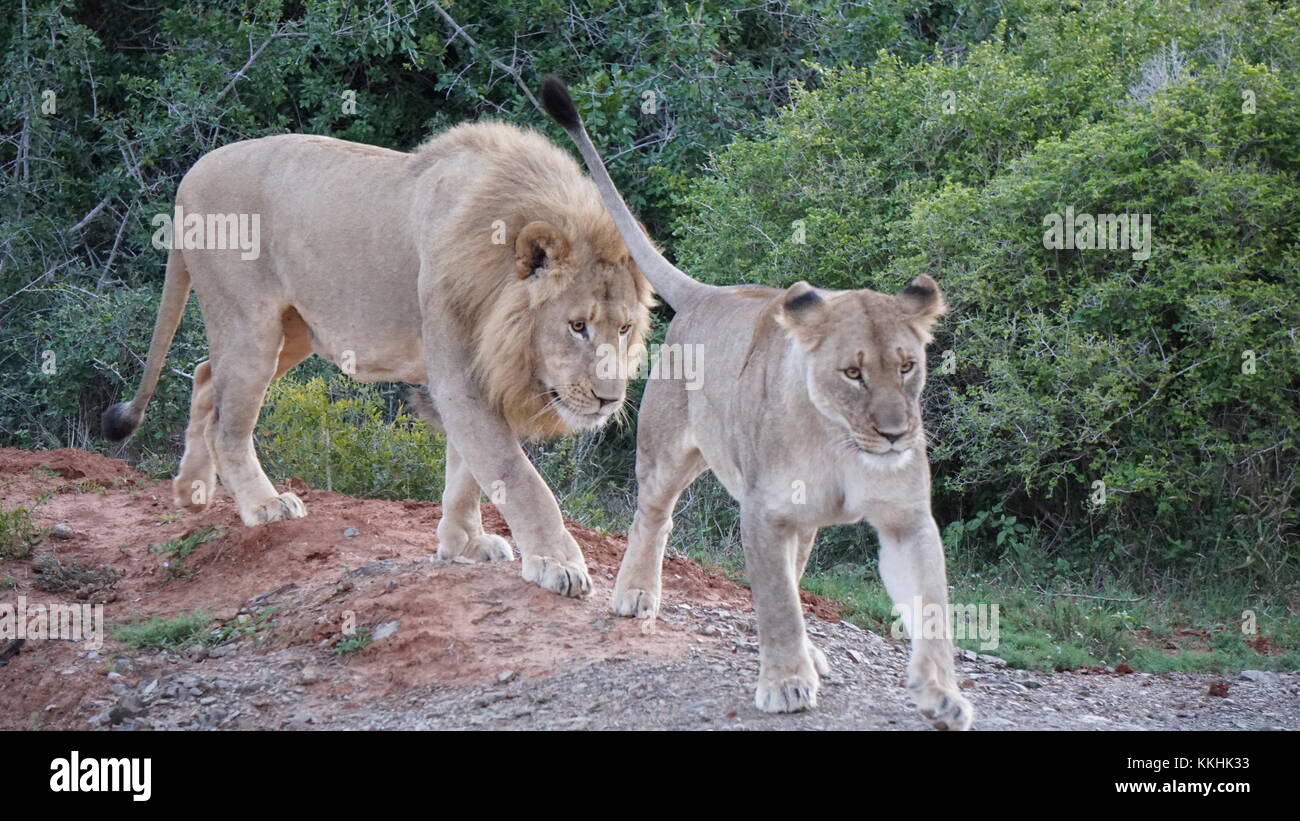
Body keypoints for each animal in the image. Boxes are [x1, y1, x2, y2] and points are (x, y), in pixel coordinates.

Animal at [102, 120, 653, 598]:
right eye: (577, 326)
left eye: (624, 328)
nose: (609, 400)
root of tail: (193, 171)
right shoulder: (460, 377)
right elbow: (516, 475)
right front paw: (558, 563)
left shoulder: (477, 375)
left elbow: (468, 472)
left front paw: (463, 544)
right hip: (249, 327)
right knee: (227, 423)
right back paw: (264, 504)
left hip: (293, 331)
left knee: (202, 377)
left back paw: (192, 490)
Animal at [542, 77, 974, 728]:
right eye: (853, 373)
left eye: (907, 366)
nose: (897, 435)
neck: (841, 440)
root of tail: (707, 292)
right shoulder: (764, 513)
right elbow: (777, 603)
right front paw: (788, 685)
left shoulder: (906, 519)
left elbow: (930, 605)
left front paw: (941, 694)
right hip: (668, 454)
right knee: (654, 517)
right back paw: (635, 594)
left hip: (803, 518)